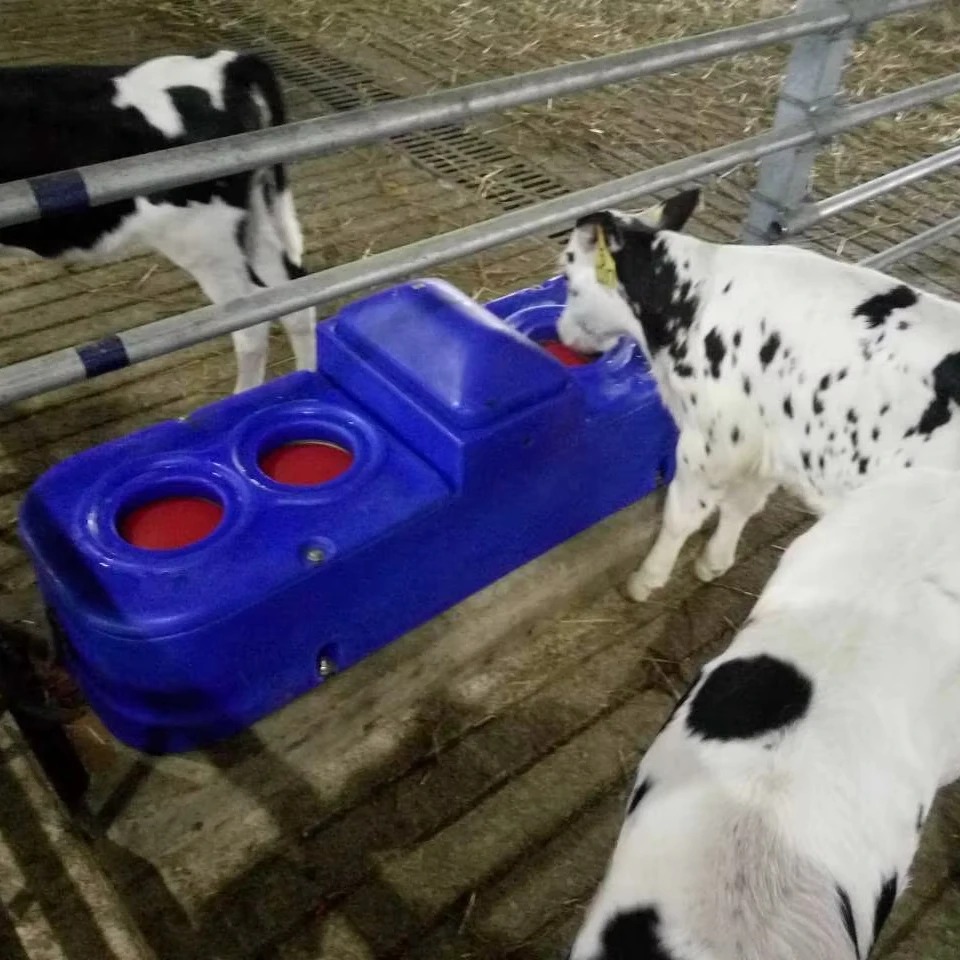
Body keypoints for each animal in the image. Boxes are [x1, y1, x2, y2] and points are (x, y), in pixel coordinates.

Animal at [0, 51, 315, 393]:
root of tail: (221, 65)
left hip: (207, 243)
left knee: (252, 324)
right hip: (253, 222)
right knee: (294, 293)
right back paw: (305, 379)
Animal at [557, 187, 960, 602]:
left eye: (568, 275)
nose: (561, 334)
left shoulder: (712, 442)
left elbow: (681, 515)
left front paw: (646, 579)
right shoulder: (770, 438)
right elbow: (743, 504)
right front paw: (714, 561)